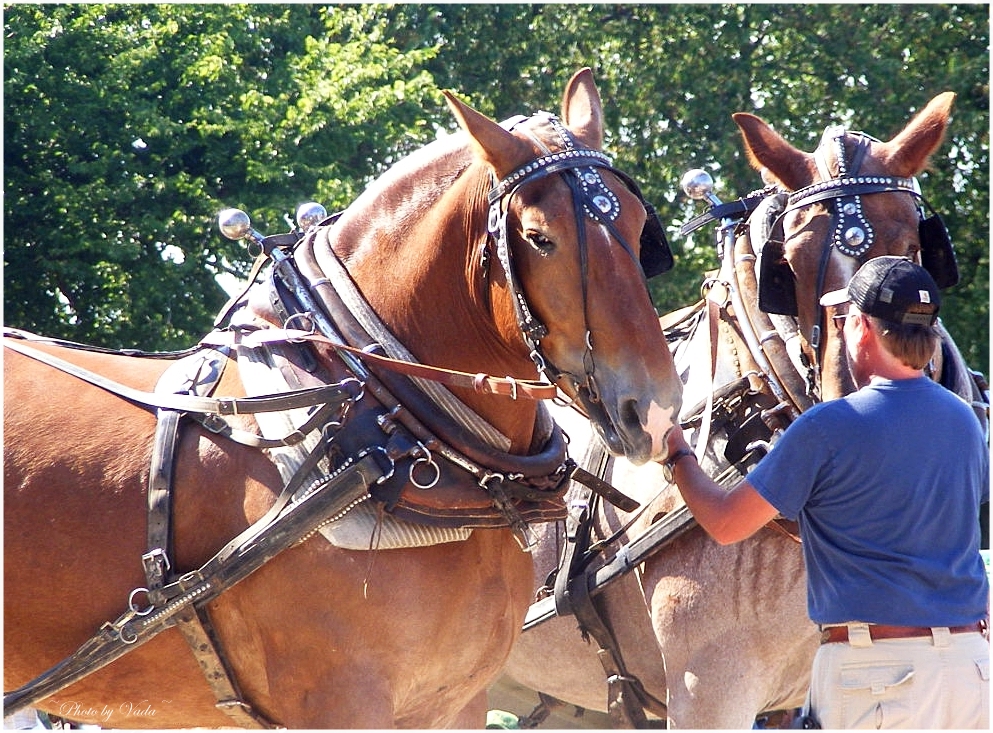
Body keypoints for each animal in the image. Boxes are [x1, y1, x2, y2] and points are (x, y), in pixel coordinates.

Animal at [3, 68, 683, 728]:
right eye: (540, 238)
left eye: (634, 223)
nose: (654, 408)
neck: (379, 422)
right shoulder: (340, 701)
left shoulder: (456, 703)